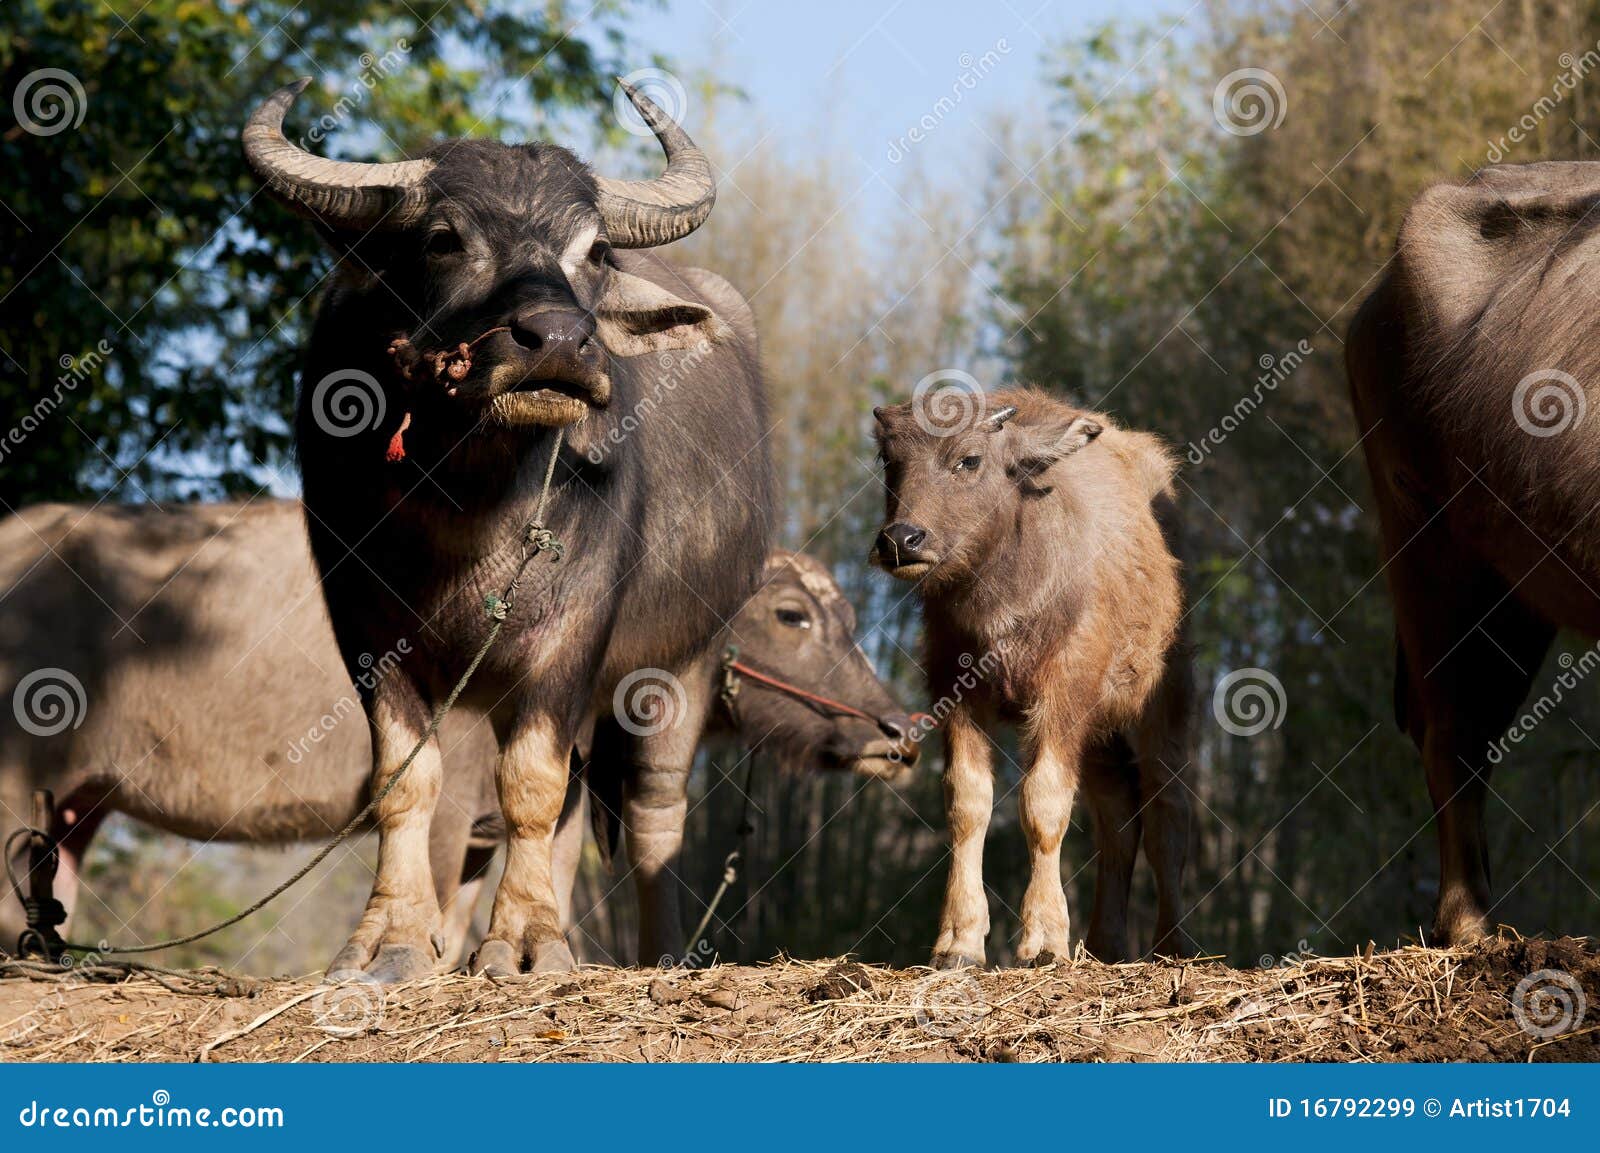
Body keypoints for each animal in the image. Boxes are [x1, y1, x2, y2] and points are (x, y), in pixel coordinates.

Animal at [871, 387, 1194, 966]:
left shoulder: (1063, 693)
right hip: (1098, 732)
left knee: (1167, 811)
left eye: (969, 459)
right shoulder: (956, 696)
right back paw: (1106, 946)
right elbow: (967, 804)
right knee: (1118, 817)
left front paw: (1044, 939)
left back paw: (1172, 946)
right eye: (890, 461)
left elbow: (1043, 804)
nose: (901, 540)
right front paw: (960, 942)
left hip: (1165, 697)